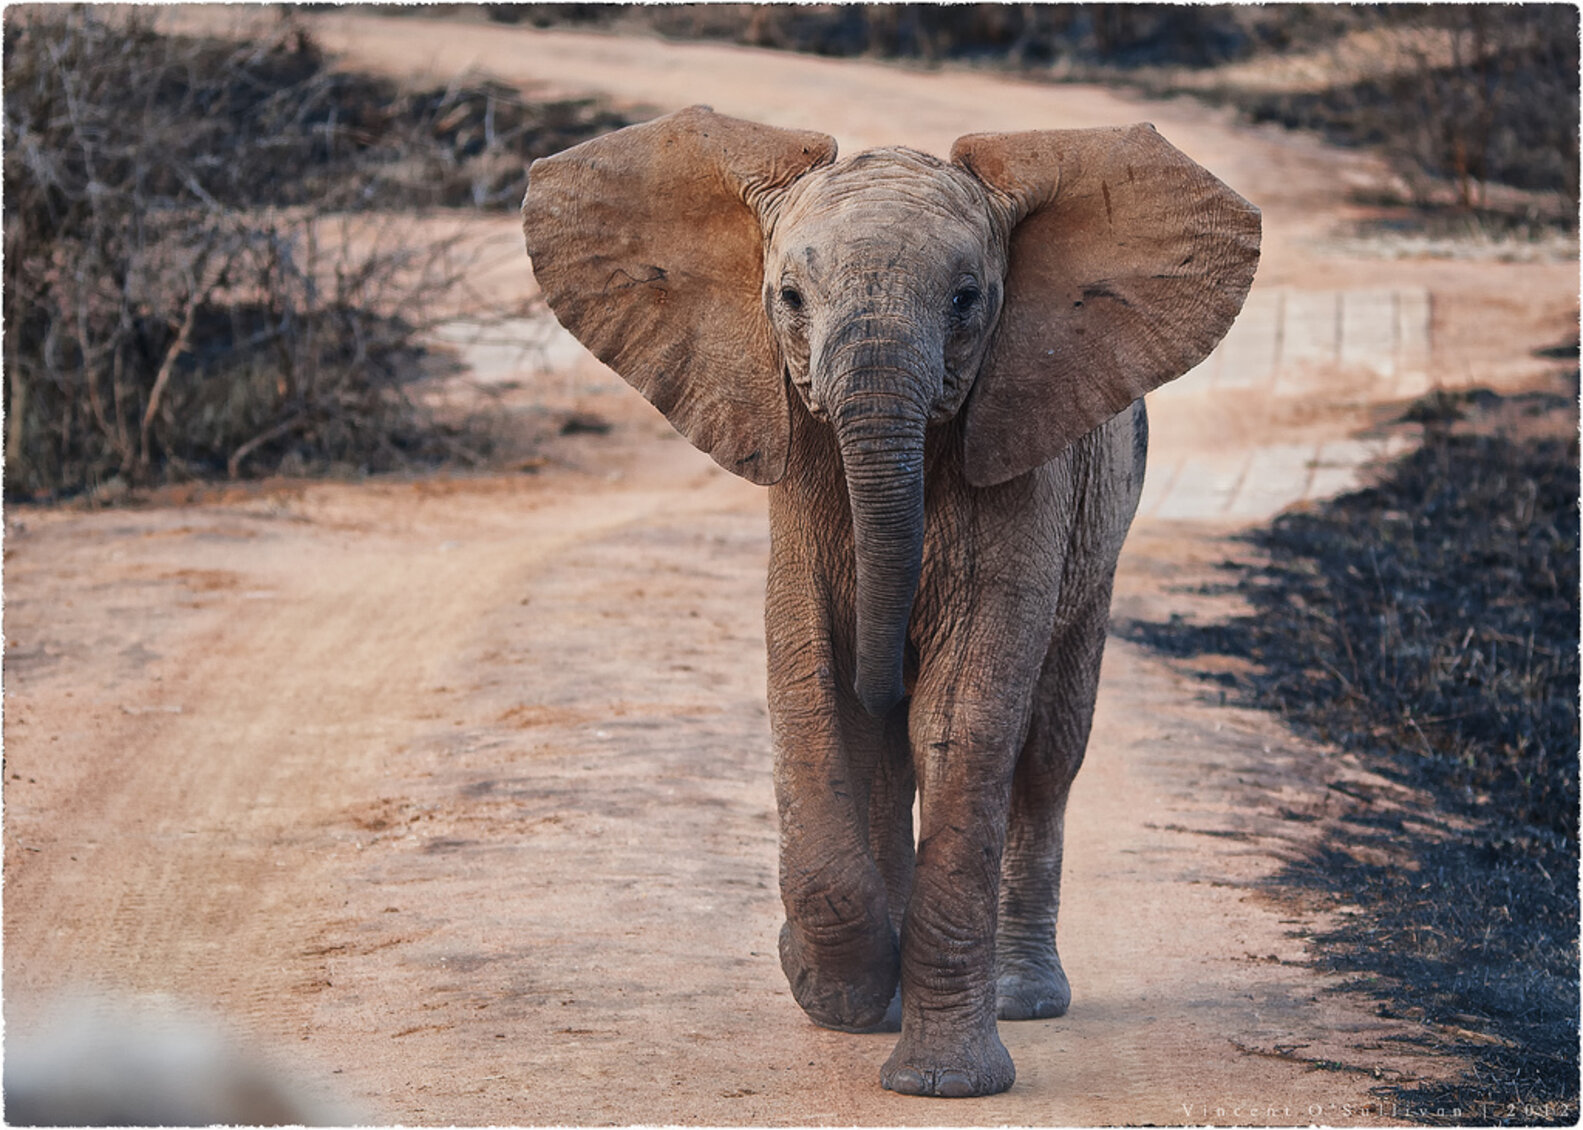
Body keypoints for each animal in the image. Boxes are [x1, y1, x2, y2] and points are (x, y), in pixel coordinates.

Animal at [522, 106, 1259, 1098]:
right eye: (788, 297)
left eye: (967, 300)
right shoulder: (800, 467)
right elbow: (810, 684)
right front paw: (834, 993)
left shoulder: (1021, 458)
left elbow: (959, 717)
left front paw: (942, 1082)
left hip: (1103, 540)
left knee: (1045, 753)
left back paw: (1022, 996)